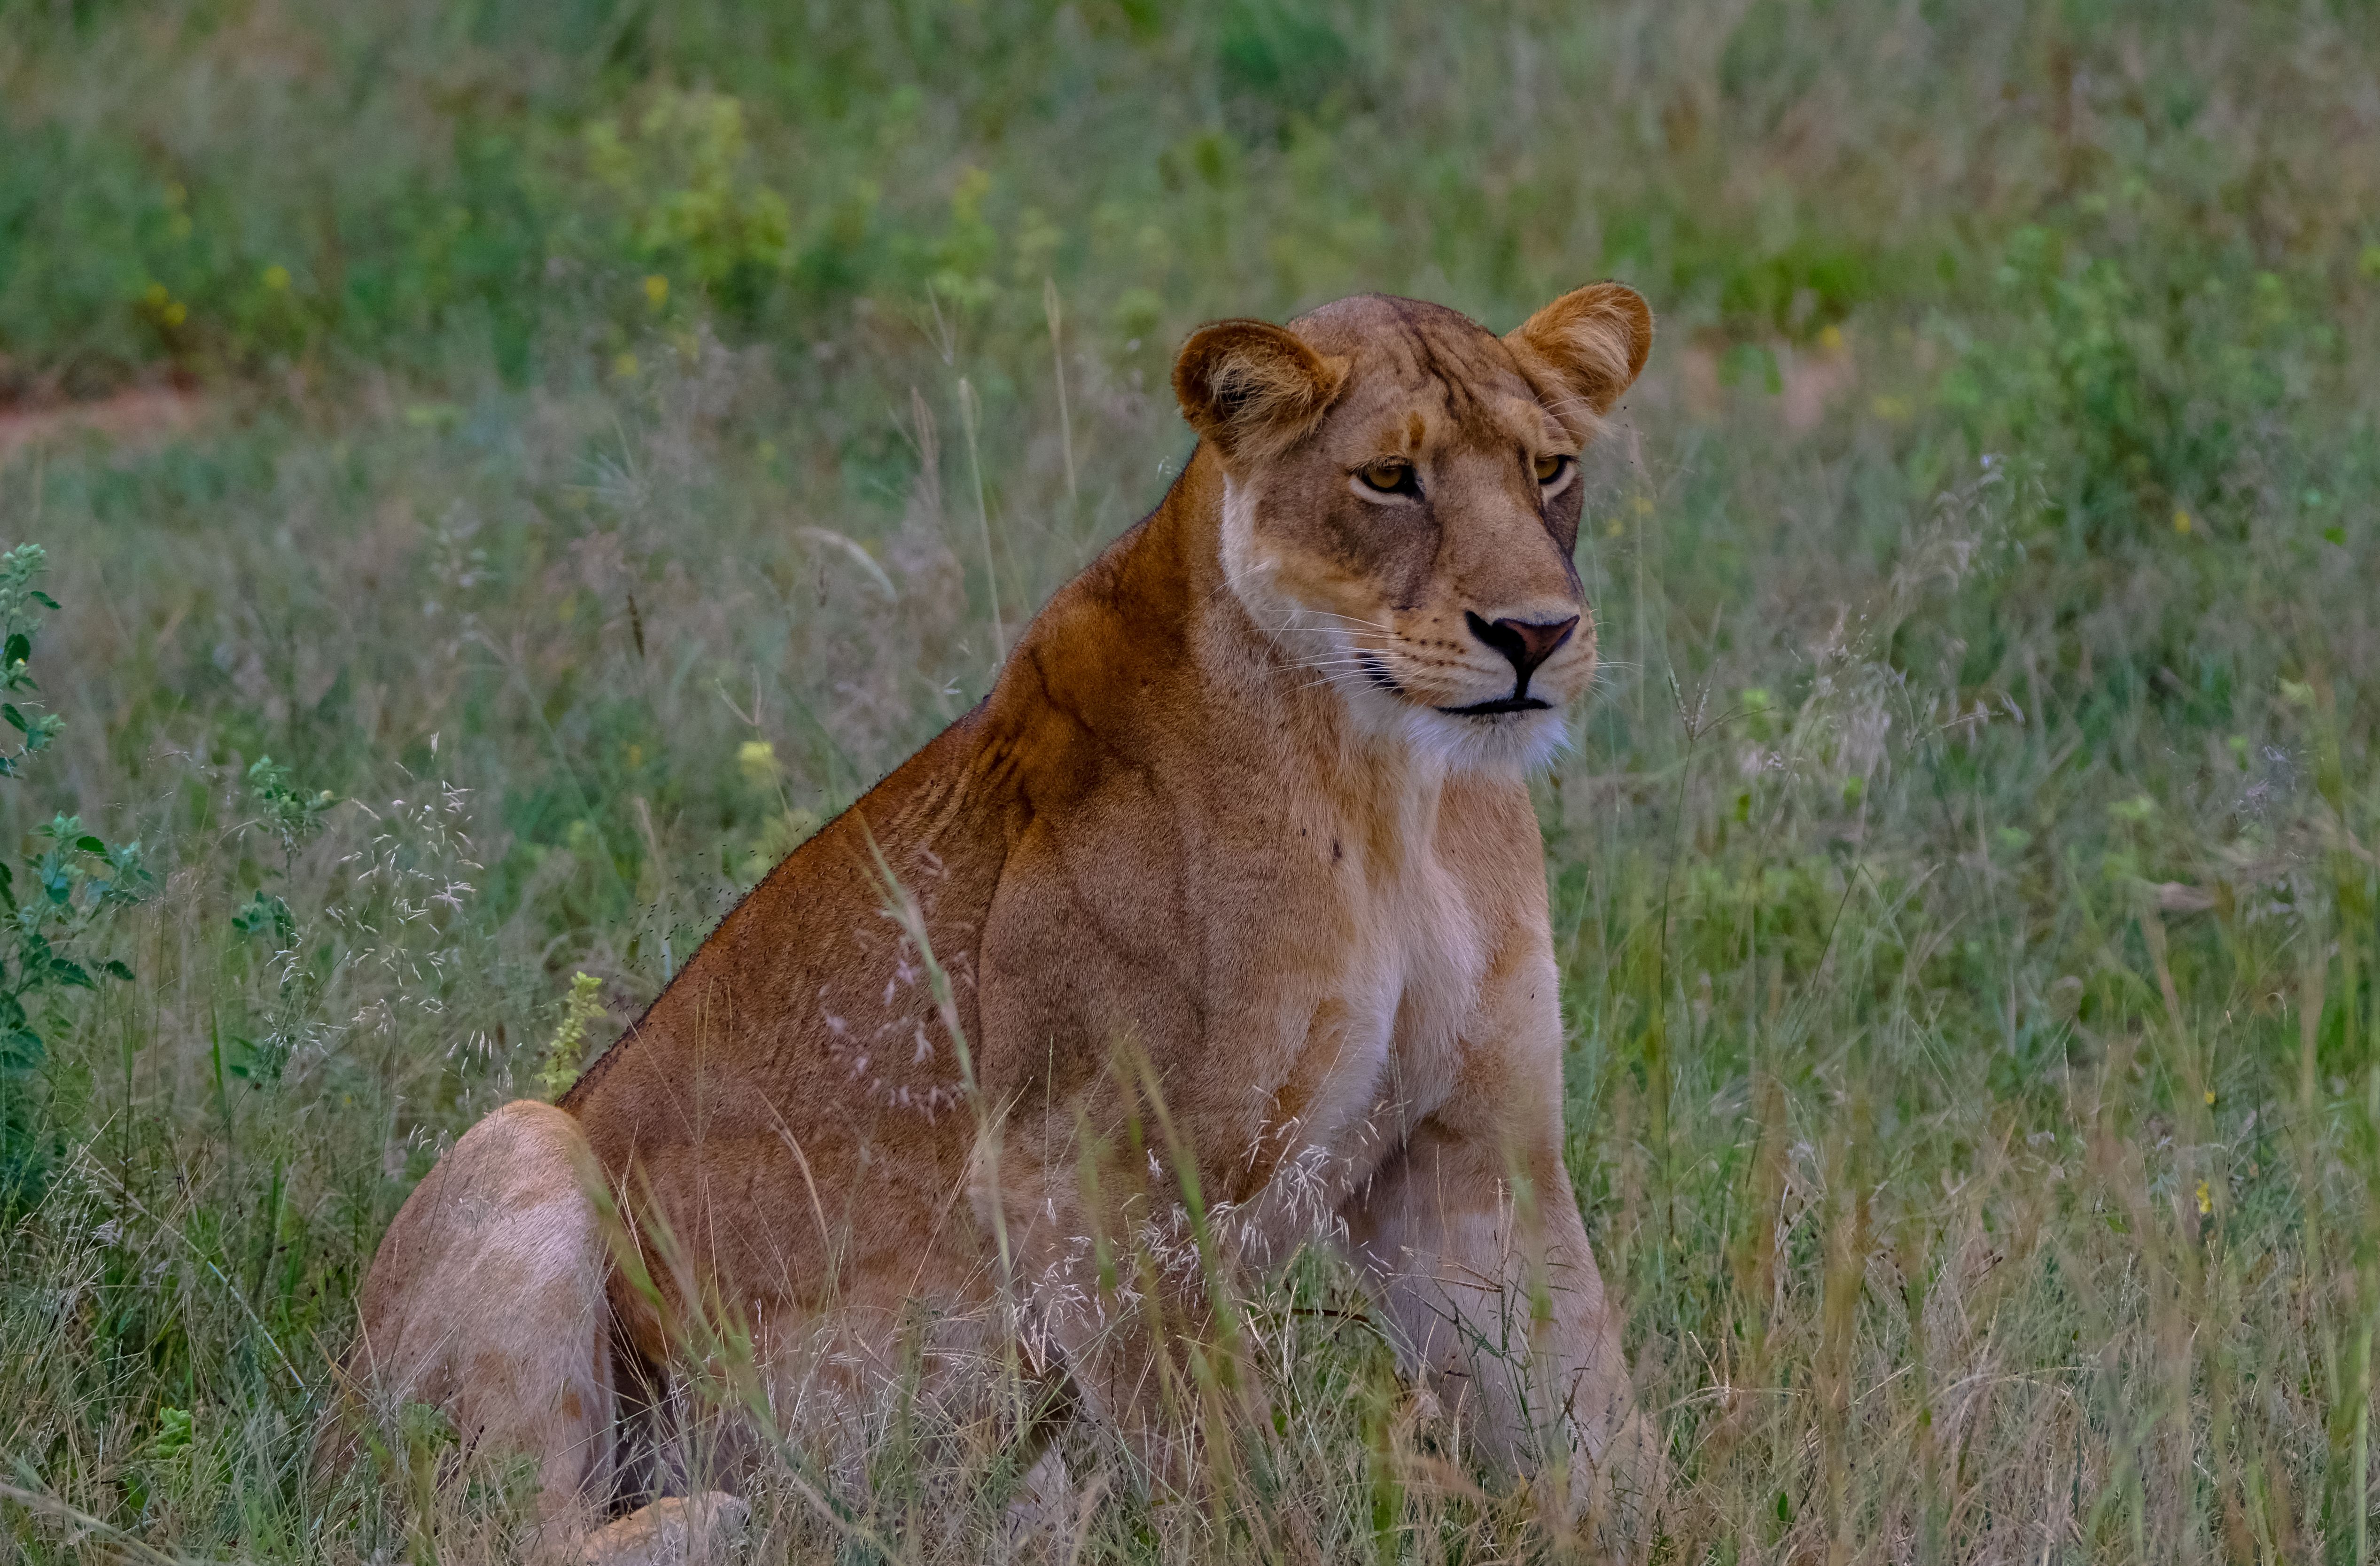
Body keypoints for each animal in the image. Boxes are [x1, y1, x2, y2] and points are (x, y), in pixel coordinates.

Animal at [342, 283, 1660, 1560]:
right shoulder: (1090, 1173)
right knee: (489, 1532)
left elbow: (1581, 1412)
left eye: (1549, 467)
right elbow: (1218, 1464)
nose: (1535, 635)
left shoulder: (1469, 1152)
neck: (1392, 787)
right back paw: (737, 1518)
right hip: (524, 1145)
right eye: (1388, 478)